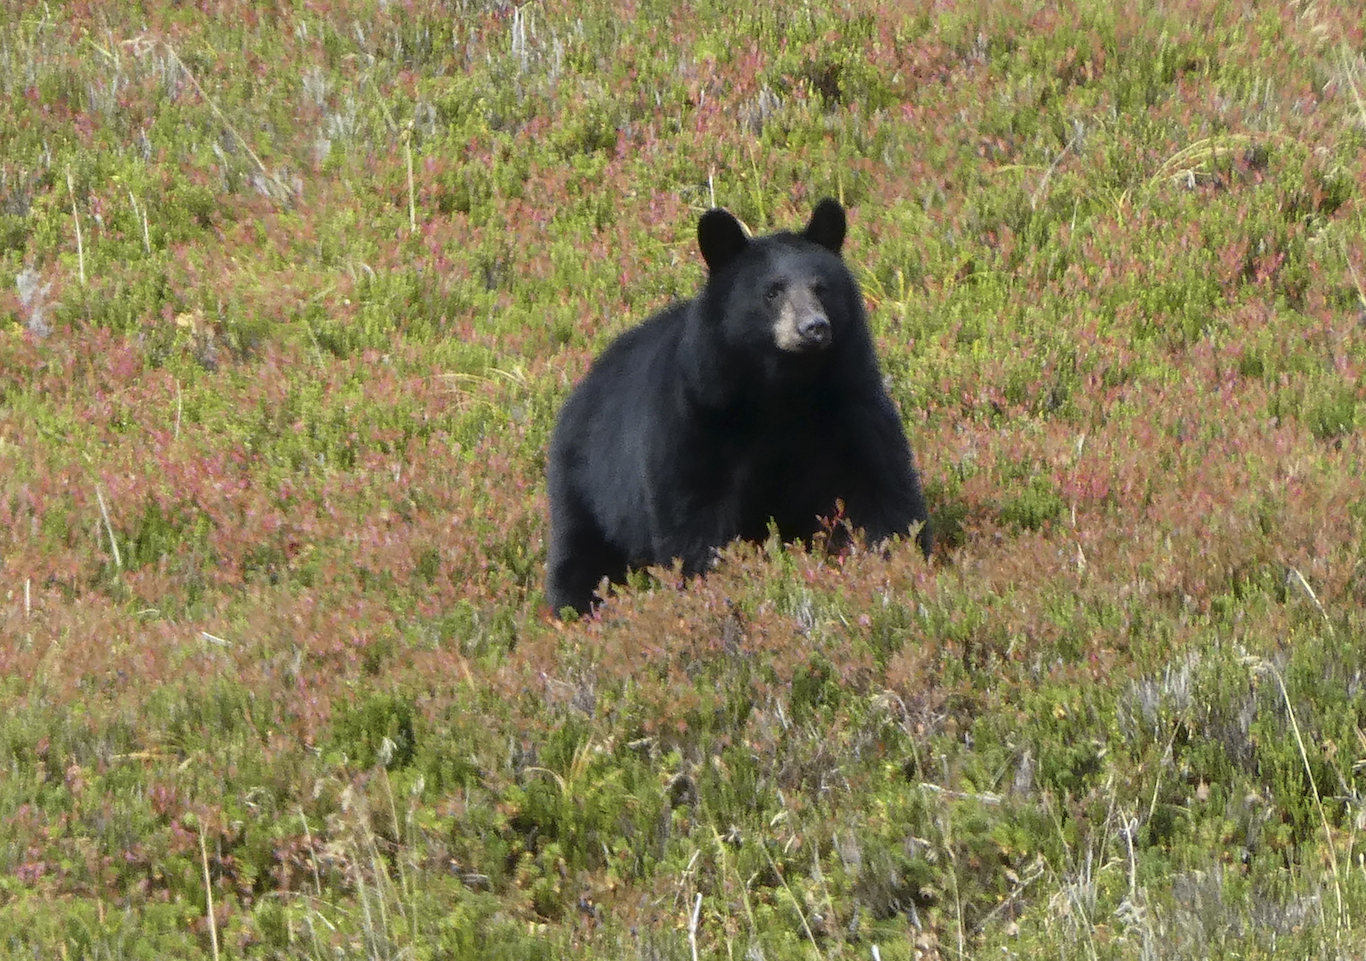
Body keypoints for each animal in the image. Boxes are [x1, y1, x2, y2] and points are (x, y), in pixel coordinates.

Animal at [545, 198, 930, 615]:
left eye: (822, 288)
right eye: (772, 292)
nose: (814, 327)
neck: (782, 391)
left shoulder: (850, 406)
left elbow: (880, 486)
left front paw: (896, 560)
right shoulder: (697, 417)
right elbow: (694, 513)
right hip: (586, 486)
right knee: (581, 554)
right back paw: (577, 606)